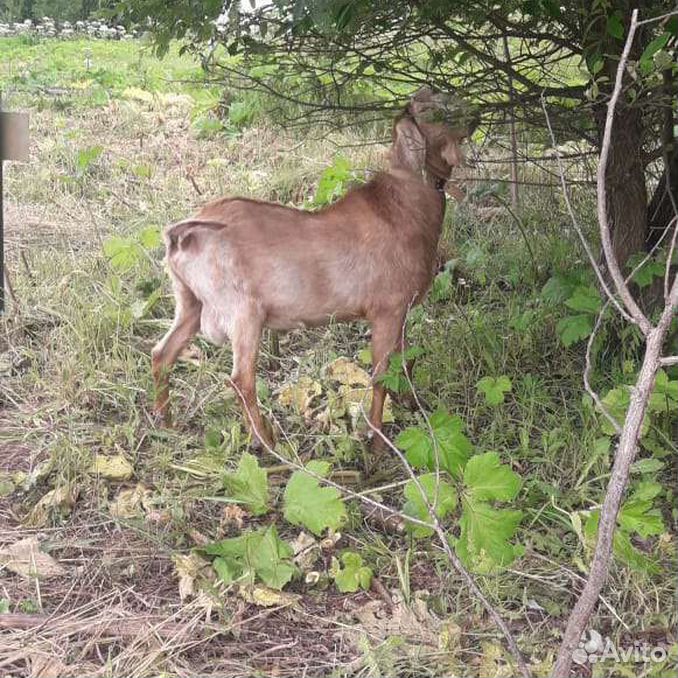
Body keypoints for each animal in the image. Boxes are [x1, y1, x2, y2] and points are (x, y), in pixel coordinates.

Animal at [153, 87, 478, 454]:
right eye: (433, 111)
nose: (477, 115)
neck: (403, 204)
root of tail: (182, 236)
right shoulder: (387, 309)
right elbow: (380, 374)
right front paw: (377, 442)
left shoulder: (404, 311)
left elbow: (403, 362)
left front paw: (410, 403)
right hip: (243, 313)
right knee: (240, 380)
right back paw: (268, 444)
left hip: (189, 301)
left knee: (162, 354)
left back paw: (167, 423)